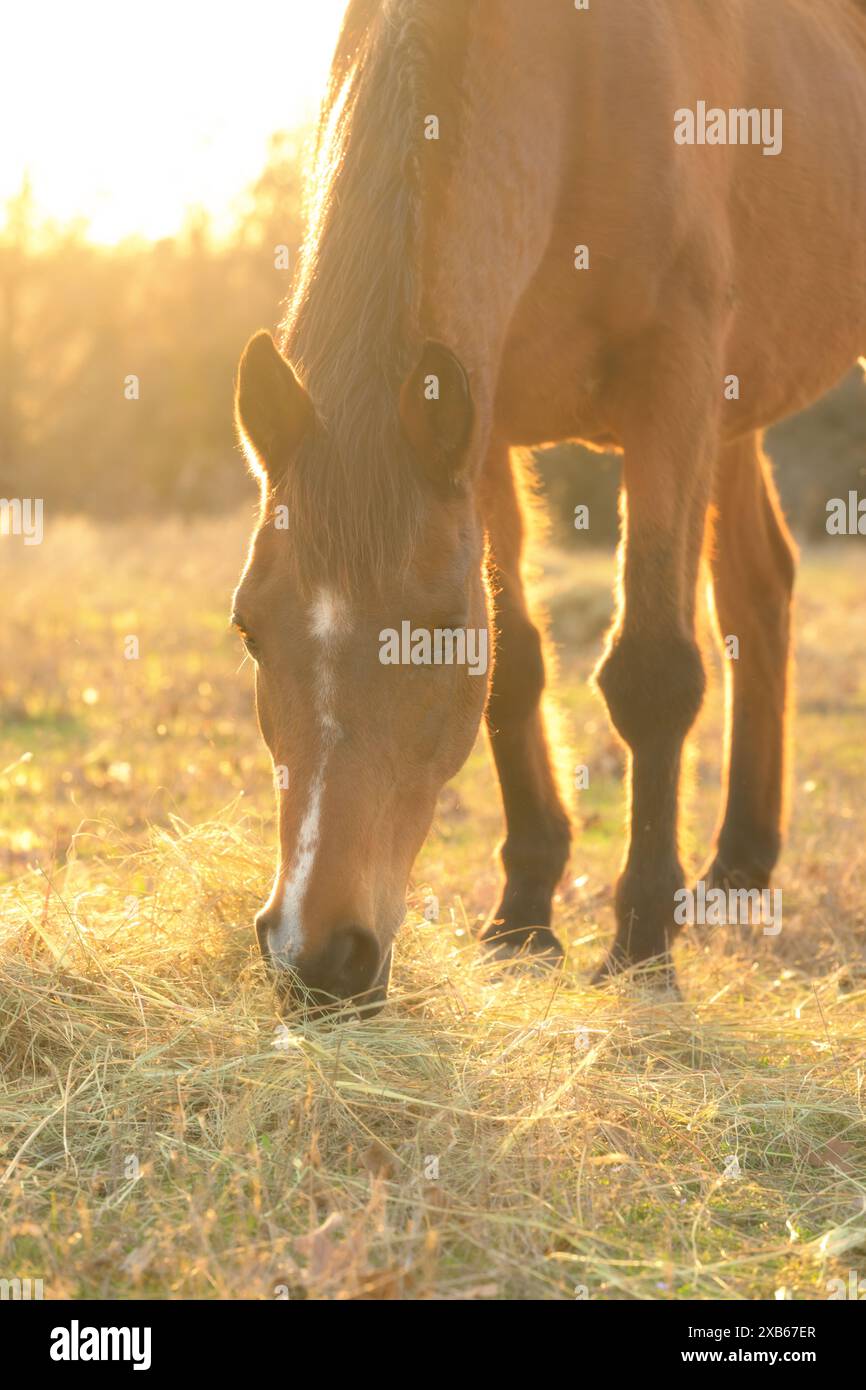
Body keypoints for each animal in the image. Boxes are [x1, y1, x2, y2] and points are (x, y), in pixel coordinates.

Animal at [232, 0, 866, 1007]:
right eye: (249, 629)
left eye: (430, 634)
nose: (316, 957)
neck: (572, 77)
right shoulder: (482, 431)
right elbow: (519, 664)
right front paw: (524, 916)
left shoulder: (672, 387)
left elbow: (652, 672)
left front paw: (641, 943)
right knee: (758, 587)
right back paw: (739, 868)